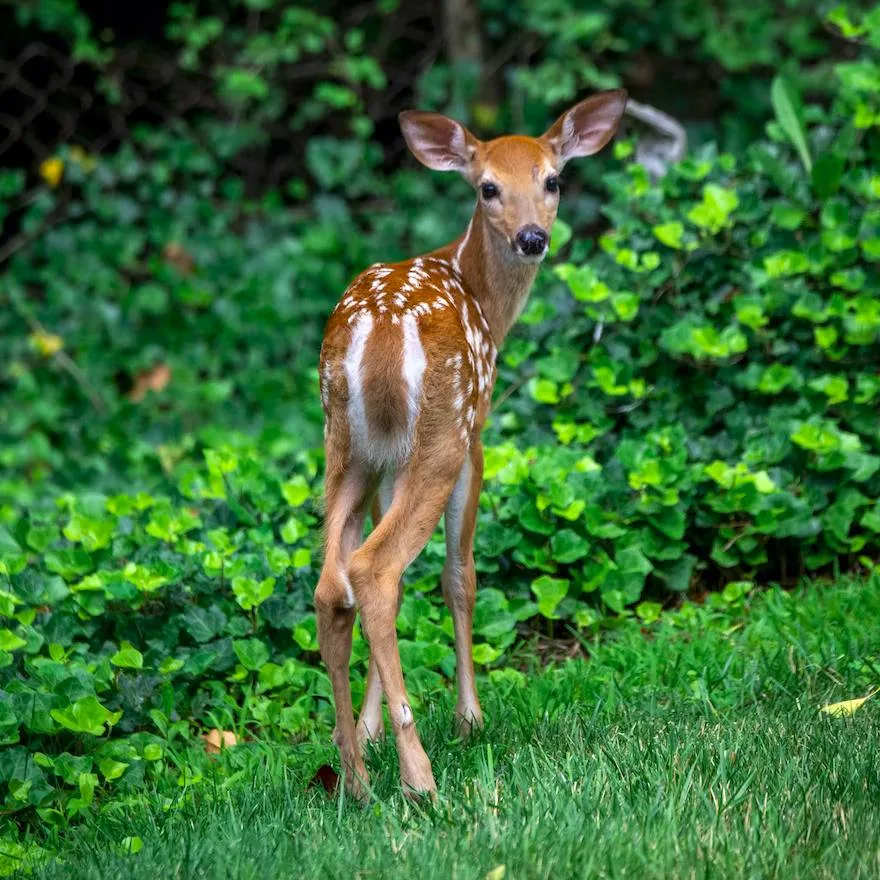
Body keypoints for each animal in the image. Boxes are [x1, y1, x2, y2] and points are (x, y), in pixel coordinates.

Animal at [315, 89, 628, 799]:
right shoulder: (477, 431)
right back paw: (419, 776)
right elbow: (460, 575)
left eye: (553, 180)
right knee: (375, 570)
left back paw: (355, 775)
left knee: (333, 582)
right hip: (443, 434)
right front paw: (469, 718)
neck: (481, 295)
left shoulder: (386, 461)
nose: (533, 237)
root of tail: (378, 333)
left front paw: (370, 730)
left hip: (345, 447)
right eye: (488, 187)